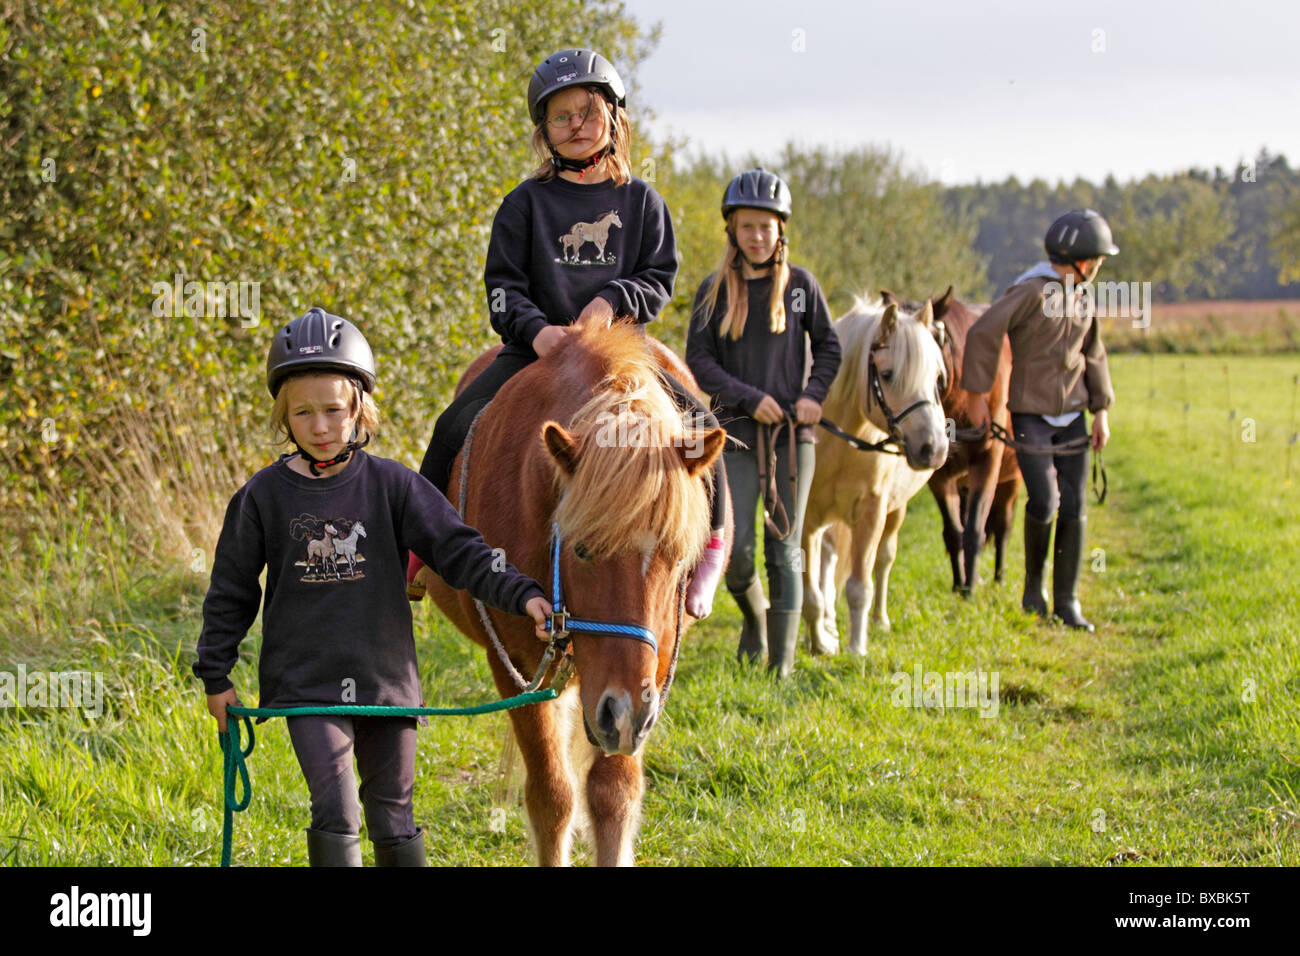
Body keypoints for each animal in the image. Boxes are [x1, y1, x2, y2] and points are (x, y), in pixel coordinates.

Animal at [418, 318, 725, 866]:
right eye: (580, 550)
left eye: (676, 558)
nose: (625, 715)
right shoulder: (516, 665)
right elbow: (552, 795)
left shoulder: (647, 677)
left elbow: (613, 793)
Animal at [801, 298, 949, 657]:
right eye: (887, 374)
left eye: (937, 377)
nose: (934, 448)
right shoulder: (808, 518)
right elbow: (811, 593)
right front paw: (819, 643)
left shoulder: (872, 512)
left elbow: (860, 586)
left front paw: (857, 649)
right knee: (829, 560)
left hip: (895, 512)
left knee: (883, 560)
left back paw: (879, 620)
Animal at [911, 287, 1022, 594]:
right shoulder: (940, 476)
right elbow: (953, 532)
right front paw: (958, 584)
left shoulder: (987, 462)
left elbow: (975, 529)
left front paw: (970, 588)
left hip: (1011, 480)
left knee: (1003, 526)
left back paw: (998, 577)